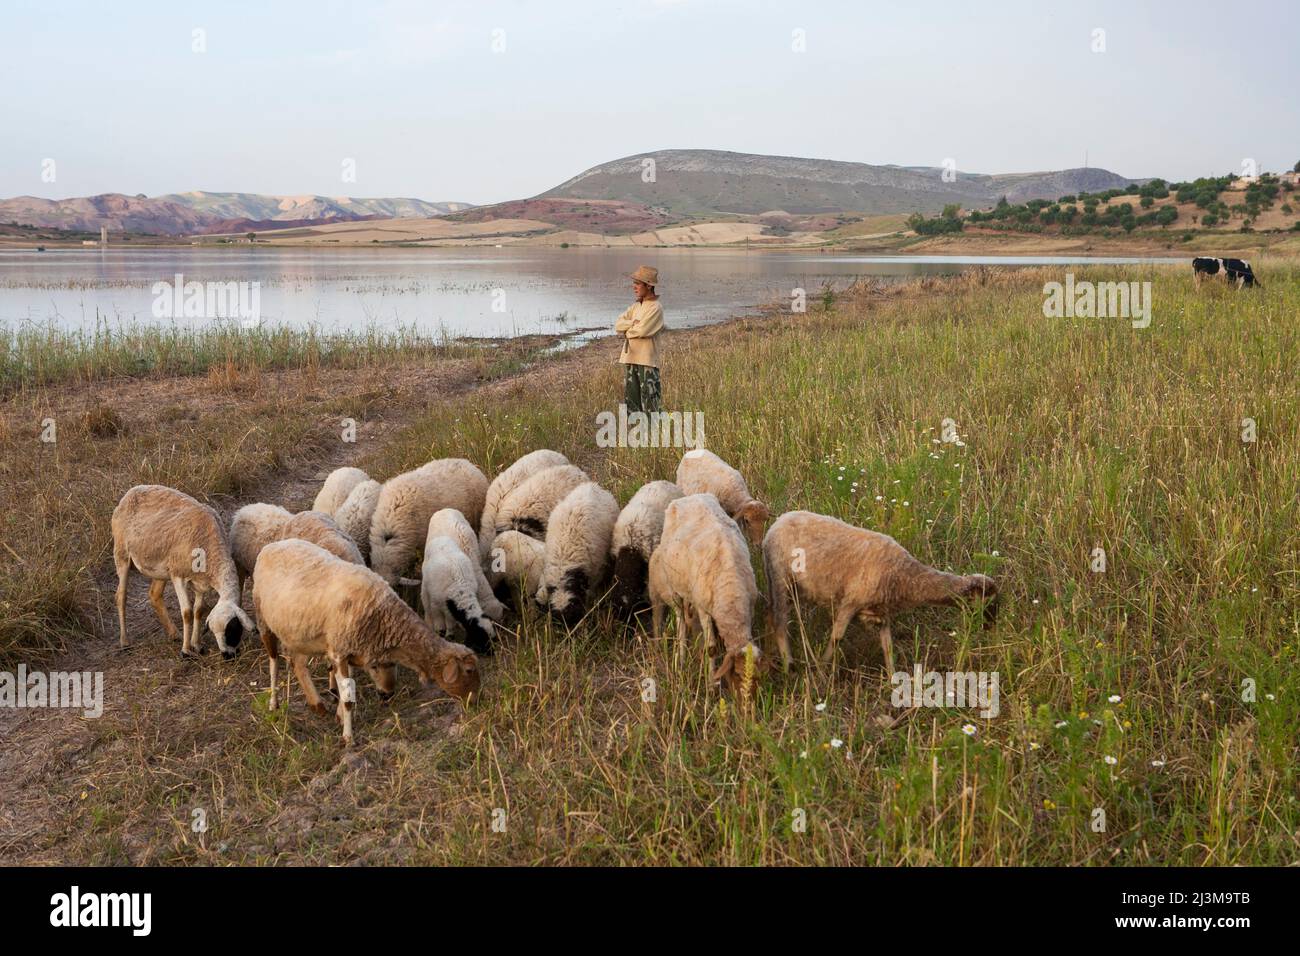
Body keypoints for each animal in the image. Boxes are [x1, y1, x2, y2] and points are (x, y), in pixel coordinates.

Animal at [112, 484, 254, 659]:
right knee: (121, 596)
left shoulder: (201, 582)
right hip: (122, 555)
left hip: (162, 569)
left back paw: (174, 634)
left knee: (154, 595)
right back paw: (124, 641)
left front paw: (197, 645)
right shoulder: (178, 576)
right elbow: (187, 612)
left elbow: (198, 611)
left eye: (233, 628)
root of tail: (131, 491)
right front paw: (186, 651)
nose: (228, 656)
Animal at [252, 539, 480, 746]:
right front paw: (348, 737)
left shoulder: (357, 652)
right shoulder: (339, 652)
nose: (476, 700)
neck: (383, 614)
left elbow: (349, 689)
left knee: (298, 664)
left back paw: (317, 704)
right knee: (274, 663)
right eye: (469, 670)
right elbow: (348, 699)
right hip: (263, 620)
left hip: (300, 636)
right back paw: (274, 703)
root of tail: (271, 546)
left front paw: (339, 716)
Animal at [648, 494, 762, 692]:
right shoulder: (703, 610)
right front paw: (711, 685)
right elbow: (712, 648)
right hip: (674, 590)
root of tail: (691, 497)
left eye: (756, 678)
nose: (748, 701)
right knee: (680, 622)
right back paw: (681, 658)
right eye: (737, 674)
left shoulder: (750, 607)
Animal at [762, 511, 998, 673]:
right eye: (988, 601)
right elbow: (836, 638)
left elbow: (888, 648)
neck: (906, 576)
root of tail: (777, 522)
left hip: (792, 587)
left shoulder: (881, 612)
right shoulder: (850, 602)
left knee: (771, 616)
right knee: (779, 620)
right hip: (780, 578)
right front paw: (821, 668)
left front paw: (892, 681)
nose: (990, 628)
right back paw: (788, 664)